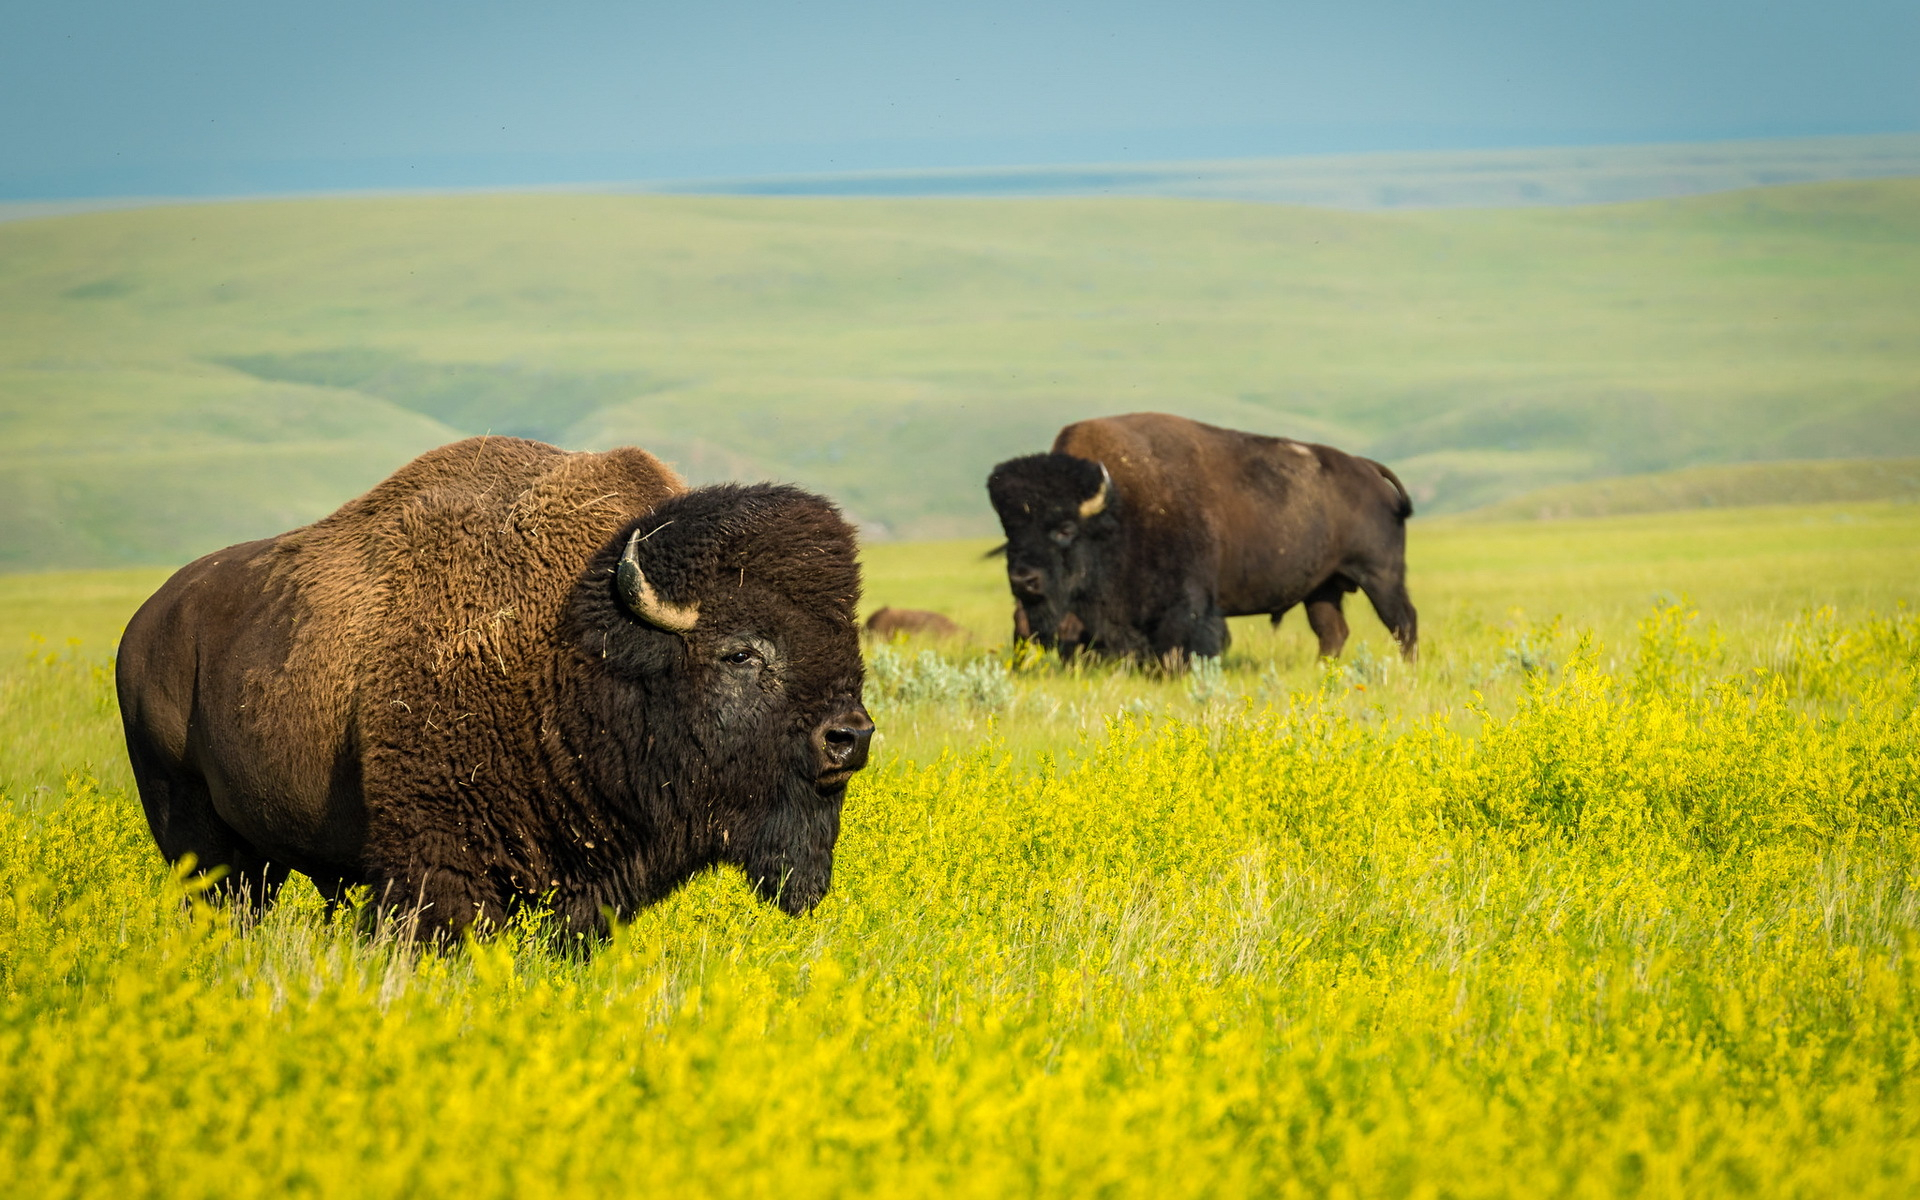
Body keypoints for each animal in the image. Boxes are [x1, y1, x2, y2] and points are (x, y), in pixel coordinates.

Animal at [117, 436, 872, 941]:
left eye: (850, 642)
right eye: (740, 652)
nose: (850, 737)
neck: (573, 648)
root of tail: (145, 625)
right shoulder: (437, 867)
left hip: (257, 853)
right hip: (197, 839)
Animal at [987, 412, 1416, 665]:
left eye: (1065, 529)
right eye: (1010, 532)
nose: (1023, 580)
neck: (1119, 507)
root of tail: (1366, 468)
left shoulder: (1187, 603)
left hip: (1380, 576)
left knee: (1402, 623)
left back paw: (1405, 672)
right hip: (1322, 588)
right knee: (1333, 632)